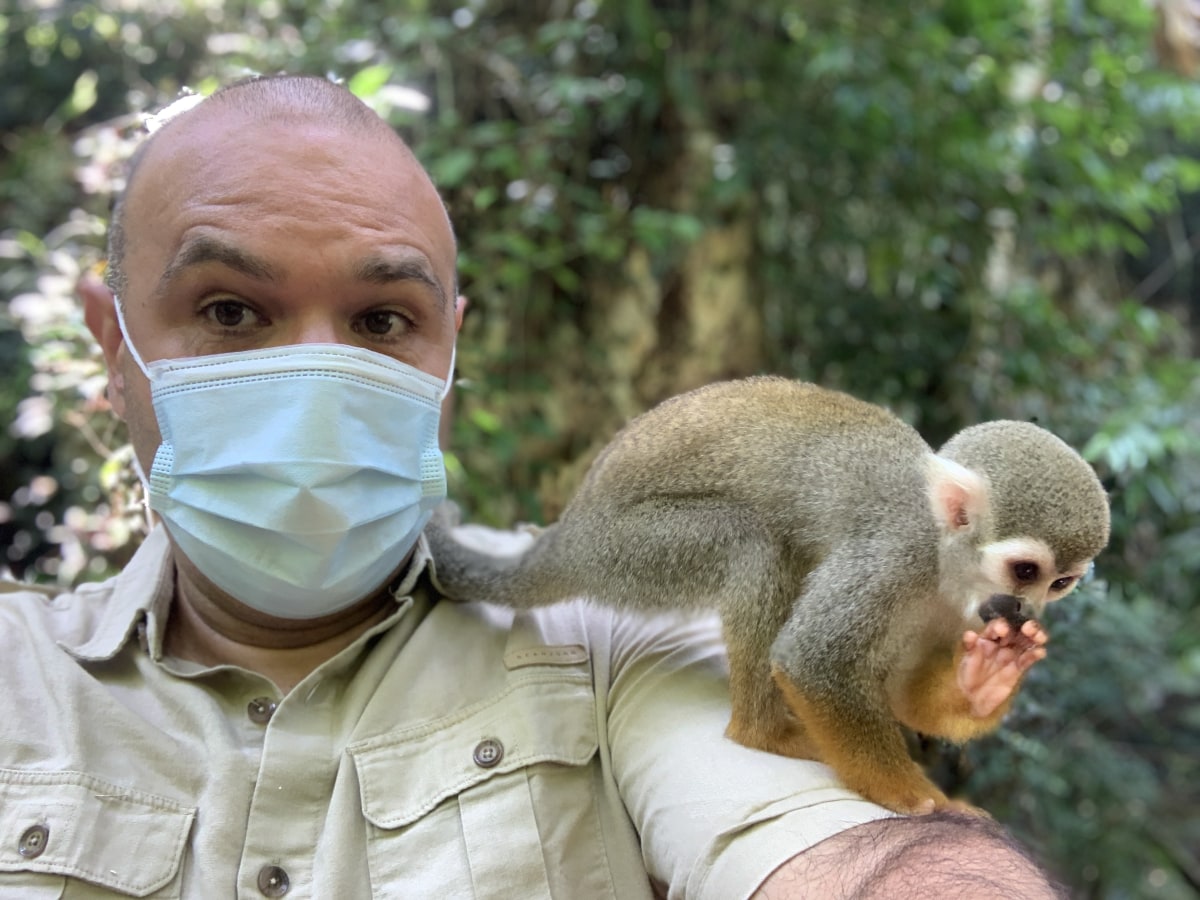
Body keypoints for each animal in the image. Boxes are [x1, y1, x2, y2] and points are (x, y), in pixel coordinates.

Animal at [424, 376, 1110, 815]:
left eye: (1061, 583)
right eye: (1024, 571)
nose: (1025, 610)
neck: (946, 565)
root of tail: (568, 530)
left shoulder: (952, 611)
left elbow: (903, 694)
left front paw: (986, 677)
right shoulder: (892, 557)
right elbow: (812, 661)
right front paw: (917, 797)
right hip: (628, 552)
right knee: (751, 543)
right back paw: (761, 731)